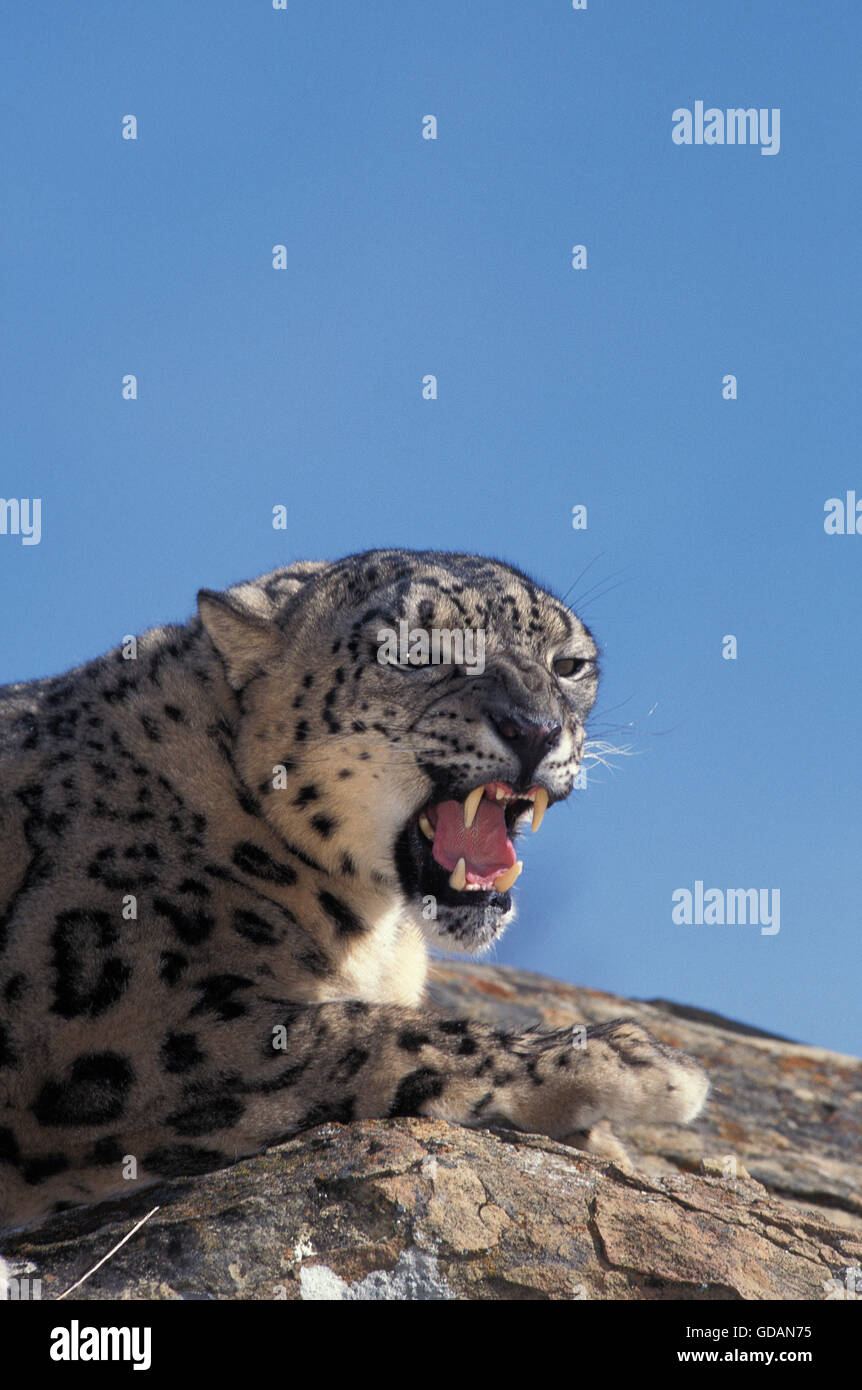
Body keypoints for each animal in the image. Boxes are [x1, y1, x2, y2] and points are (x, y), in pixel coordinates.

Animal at [0, 548, 707, 1231]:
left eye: (569, 664)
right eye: (415, 654)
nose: (534, 728)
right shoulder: (128, 1032)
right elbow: (365, 1033)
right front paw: (629, 1061)